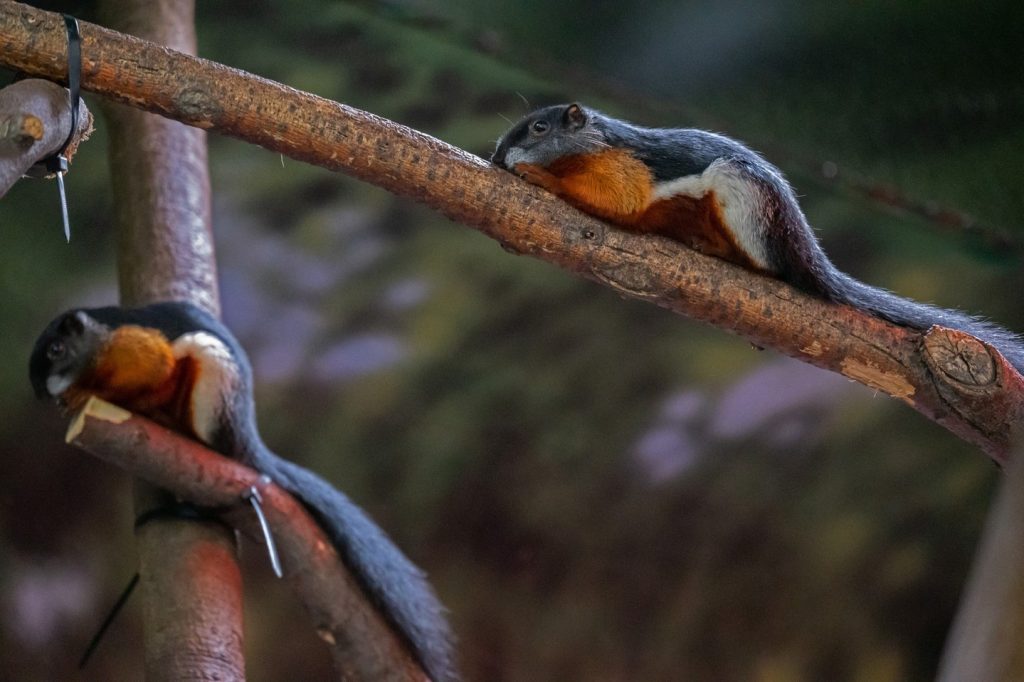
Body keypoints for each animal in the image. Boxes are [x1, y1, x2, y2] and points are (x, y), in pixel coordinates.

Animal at [29, 301, 455, 682]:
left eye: (56, 350)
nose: (44, 392)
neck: (99, 347)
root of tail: (246, 435)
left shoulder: (138, 350)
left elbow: (150, 374)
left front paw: (87, 396)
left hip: (212, 387)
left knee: (211, 440)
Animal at [492, 102, 1024, 372]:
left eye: (539, 127)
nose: (497, 155)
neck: (592, 146)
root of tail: (808, 253)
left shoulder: (624, 171)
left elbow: (616, 201)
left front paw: (538, 175)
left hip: (743, 202)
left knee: (770, 268)